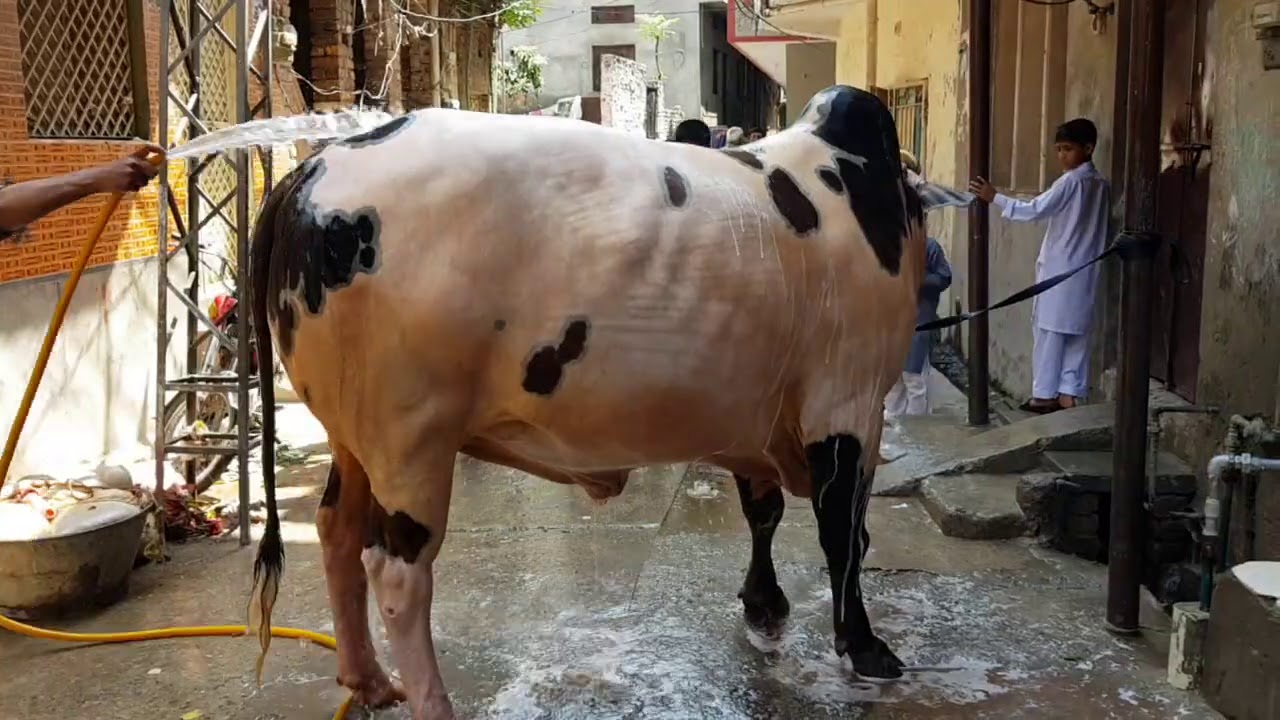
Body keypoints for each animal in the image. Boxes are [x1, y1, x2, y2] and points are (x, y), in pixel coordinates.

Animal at [245, 85, 971, 719]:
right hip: (410, 437)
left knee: (337, 532)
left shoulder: (758, 412)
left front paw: (765, 608)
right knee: (397, 574)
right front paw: (866, 647)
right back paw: (432, 702)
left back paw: (366, 679)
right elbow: (843, 531)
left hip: (355, 435)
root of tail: (310, 171)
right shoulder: (847, 404)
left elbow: (763, 512)